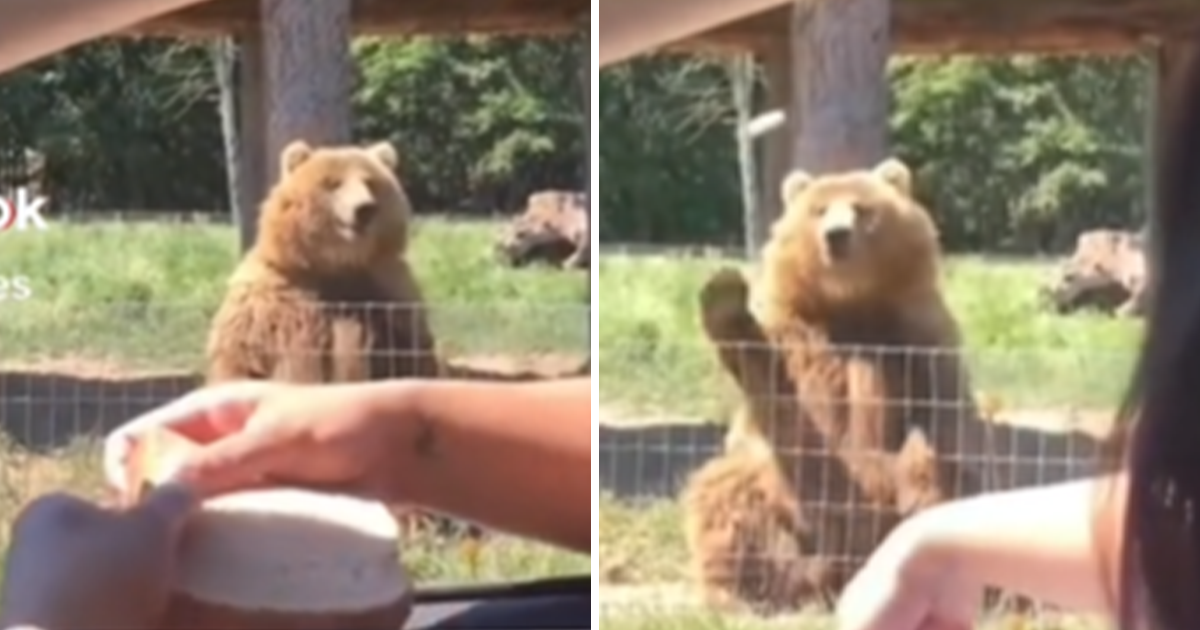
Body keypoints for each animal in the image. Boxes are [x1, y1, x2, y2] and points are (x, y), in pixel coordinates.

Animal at [682, 158, 989, 613]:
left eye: (862, 208)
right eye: (819, 210)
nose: (837, 235)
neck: (850, 306)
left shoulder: (921, 341)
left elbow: (945, 426)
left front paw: (919, 479)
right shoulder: (797, 341)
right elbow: (780, 403)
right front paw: (724, 295)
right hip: (781, 522)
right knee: (726, 494)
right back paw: (745, 596)